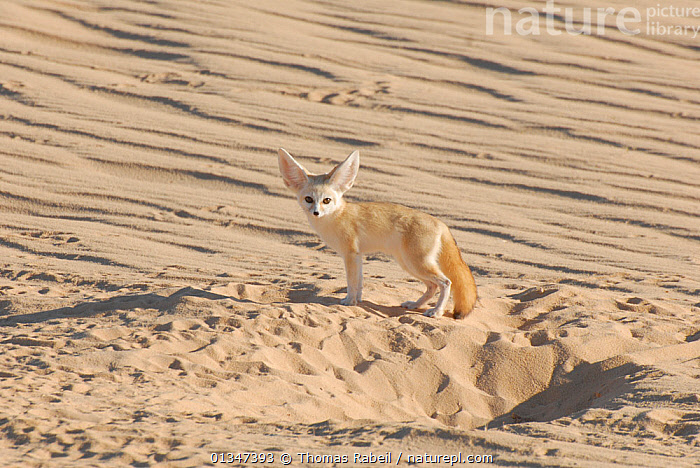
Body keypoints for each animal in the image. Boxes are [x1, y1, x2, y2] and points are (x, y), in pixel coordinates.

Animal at [278, 148, 477, 319]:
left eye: (327, 200)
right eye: (308, 199)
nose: (316, 212)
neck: (336, 217)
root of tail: (441, 223)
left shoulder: (350, 254)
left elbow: (351, 283)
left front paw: (348, 302)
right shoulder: (358, 255)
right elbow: (358, 283)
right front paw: (357, 301)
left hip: (416, 264)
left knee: (446, 282)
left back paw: (436, 312)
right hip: (409, 264)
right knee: (432, 286)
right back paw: (415, 305)